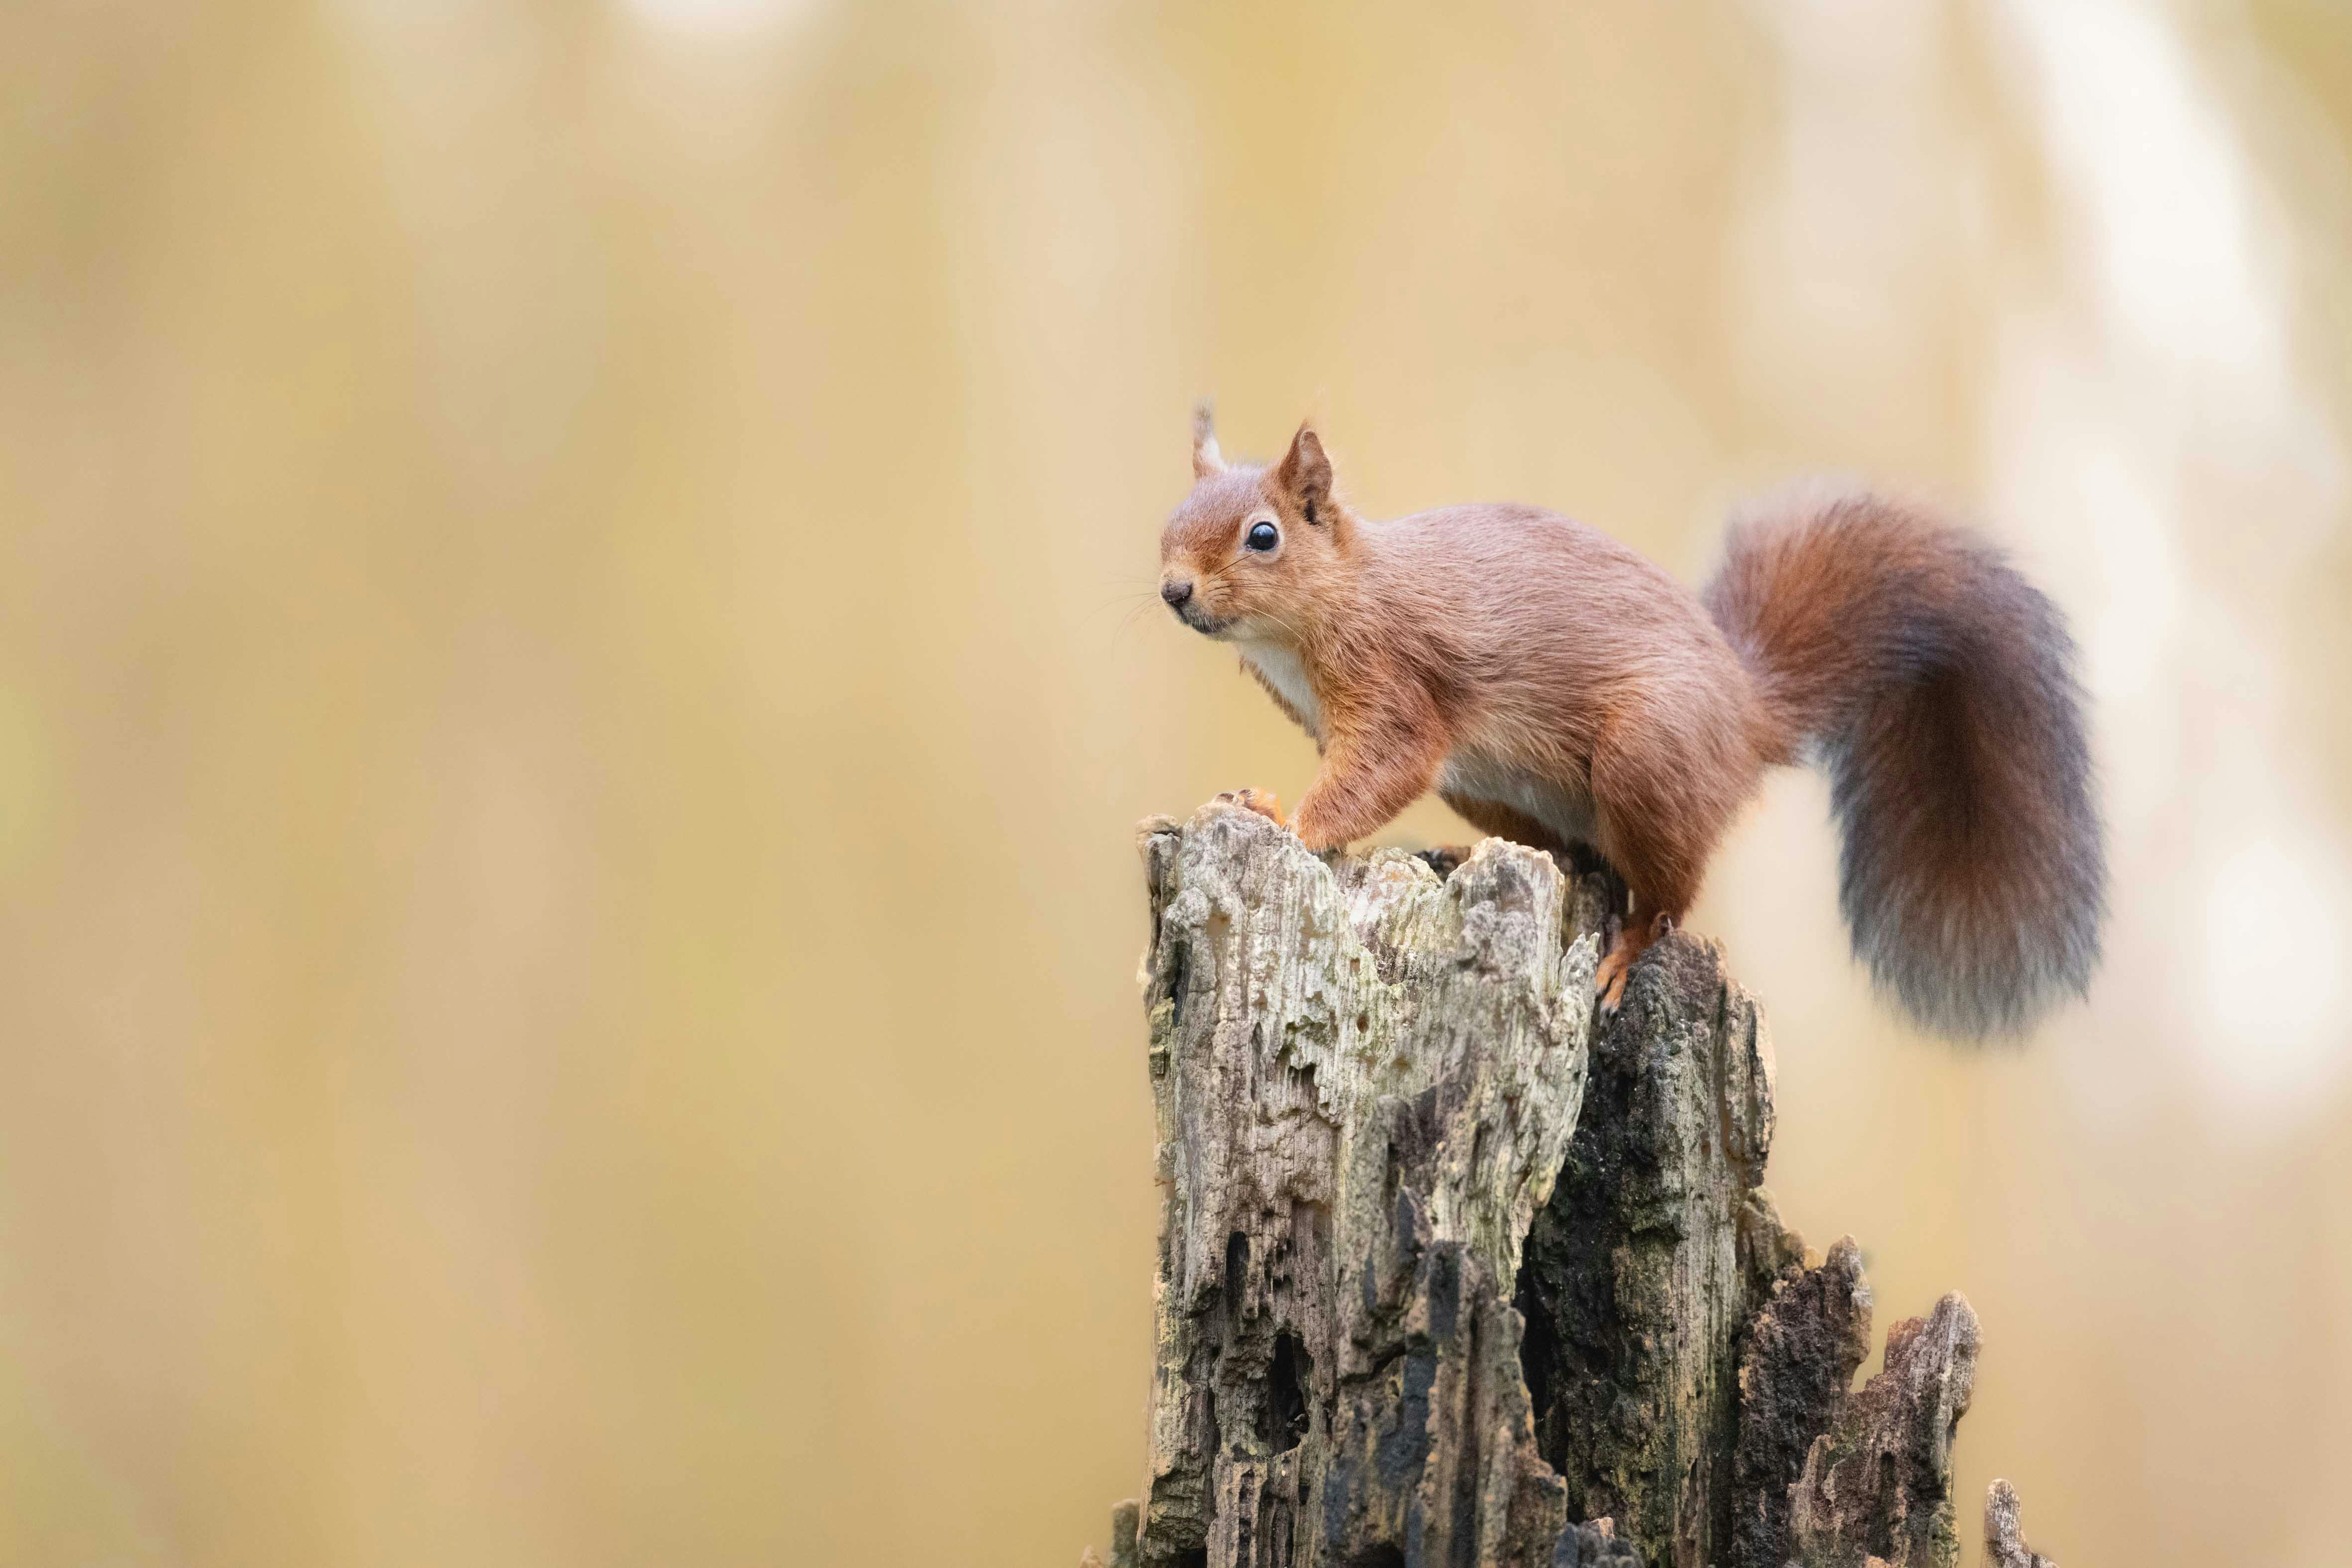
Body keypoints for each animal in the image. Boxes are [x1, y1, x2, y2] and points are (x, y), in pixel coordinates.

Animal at [1158, 406, 2106, 1038]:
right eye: (1167, 524)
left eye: (1264, 536)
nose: (1173, 591)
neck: (1326, 605)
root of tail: (1746, 715)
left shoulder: (1394, 682)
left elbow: (1378, 770)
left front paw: (1283, 819)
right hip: (1496, 787)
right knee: (1579, 855)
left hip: (1647, 757)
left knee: (1669, 895)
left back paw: (1628, 947)